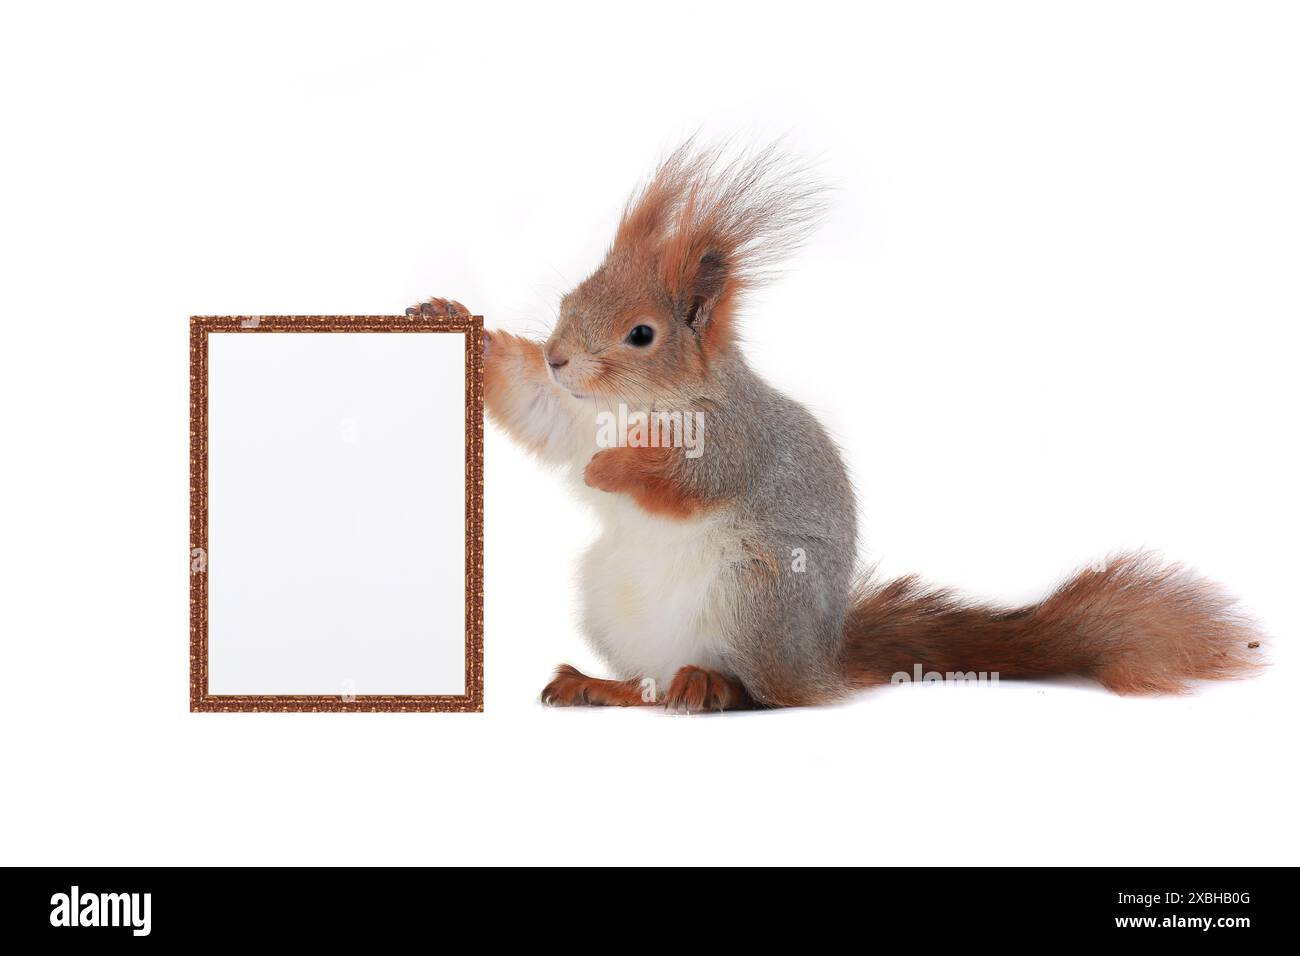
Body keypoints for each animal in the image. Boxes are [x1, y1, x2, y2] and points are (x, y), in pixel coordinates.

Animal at [411, 142, 1264, 712]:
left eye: (642, 334)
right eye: (568, 300)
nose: (558, 356)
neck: (633, 406)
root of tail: (820, 658)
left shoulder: (736, 440)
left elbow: (691, 480)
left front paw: (609, 471)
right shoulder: (571, 412)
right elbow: (537, 406)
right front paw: (455, 322)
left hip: (756, 595)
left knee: (764, 694)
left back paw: (710, 684)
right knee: (653, 688)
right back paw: (604, 686)